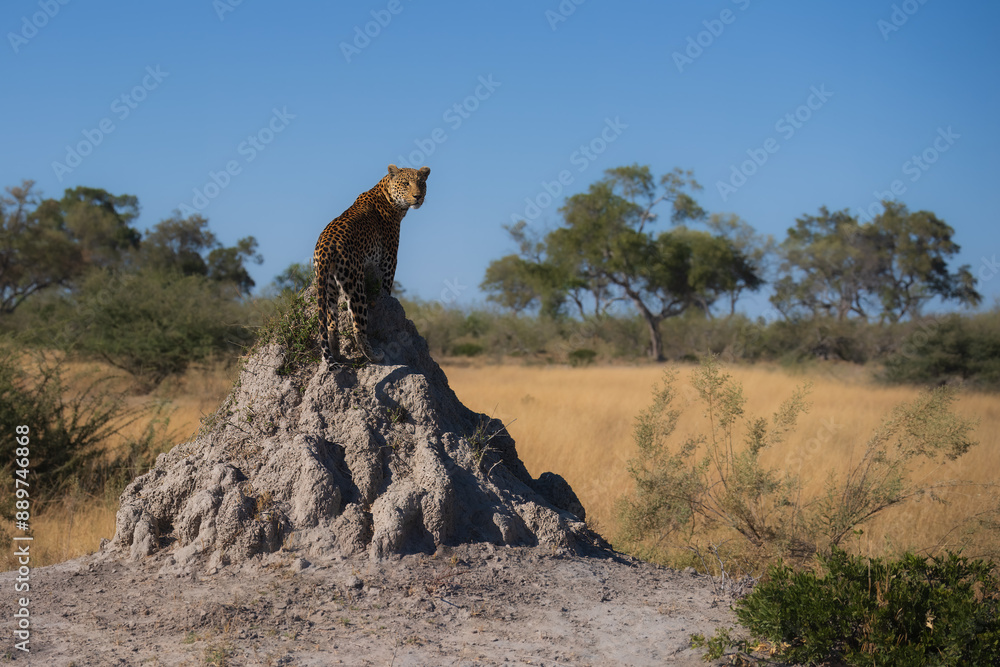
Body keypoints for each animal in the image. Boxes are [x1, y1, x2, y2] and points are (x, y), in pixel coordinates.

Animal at [313, 164, 430, 364]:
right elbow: (386, 287)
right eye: (406, 184)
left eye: (421, 183)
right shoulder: (389, 259)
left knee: (331, 323)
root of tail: (326, 244)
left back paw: (338, 355)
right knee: (358, 328)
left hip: (329, 286)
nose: (418, 196)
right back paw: (375, 356)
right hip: (355, 284)